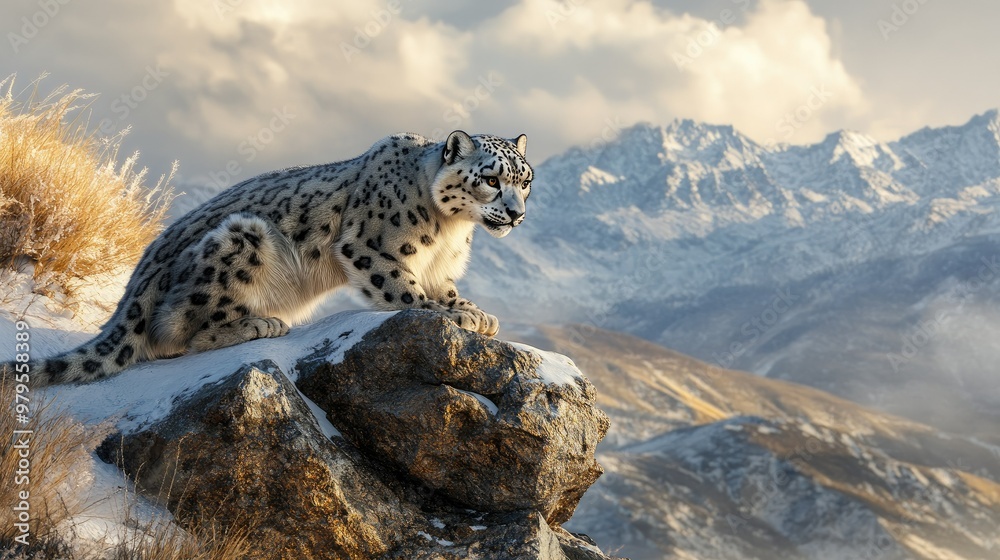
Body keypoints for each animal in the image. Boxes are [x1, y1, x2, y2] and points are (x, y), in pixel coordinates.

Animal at [24, 130, 533, 385]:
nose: (516, 213)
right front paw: (442, 314)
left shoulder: (441, 266)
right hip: (239, 239)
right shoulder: (371, 246)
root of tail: (136, 282)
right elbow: (402, 288)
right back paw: (258, 324)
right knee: (181, 333)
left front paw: (474, 312)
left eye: (525, 181)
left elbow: (446, 290)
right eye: (491, 179)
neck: (450, 229)